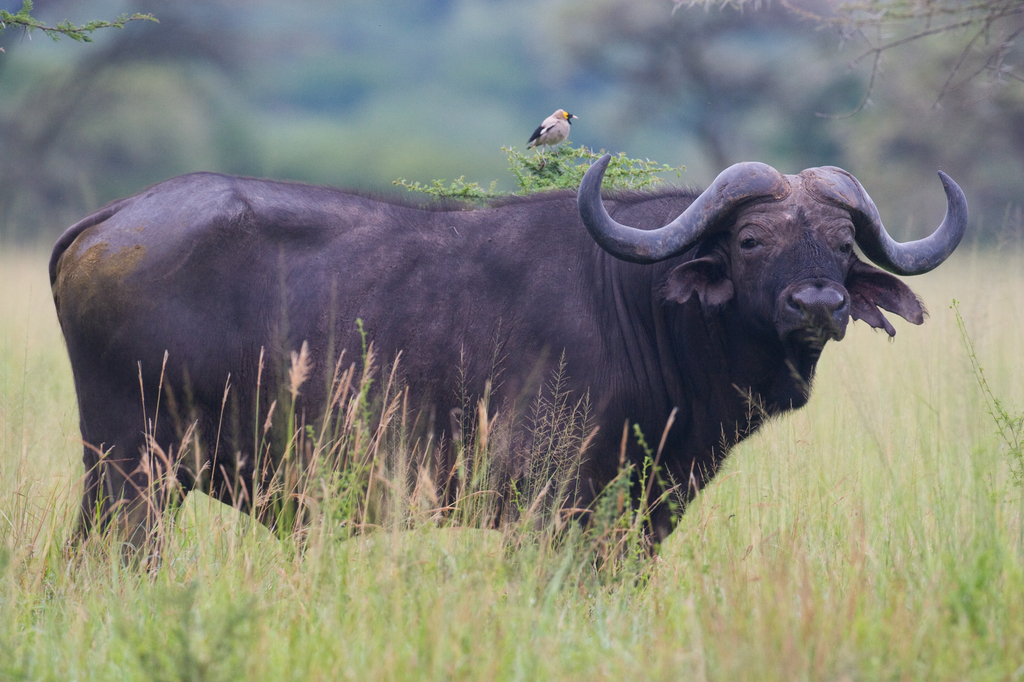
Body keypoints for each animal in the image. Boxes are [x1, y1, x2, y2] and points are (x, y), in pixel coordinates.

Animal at [50, 155, 967, 553]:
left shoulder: (644, 512)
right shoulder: (546, 504)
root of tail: (110, 222)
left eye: (841, 245)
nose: (819, 305)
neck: (637, 303)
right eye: (750, 240)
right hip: (132, 473)